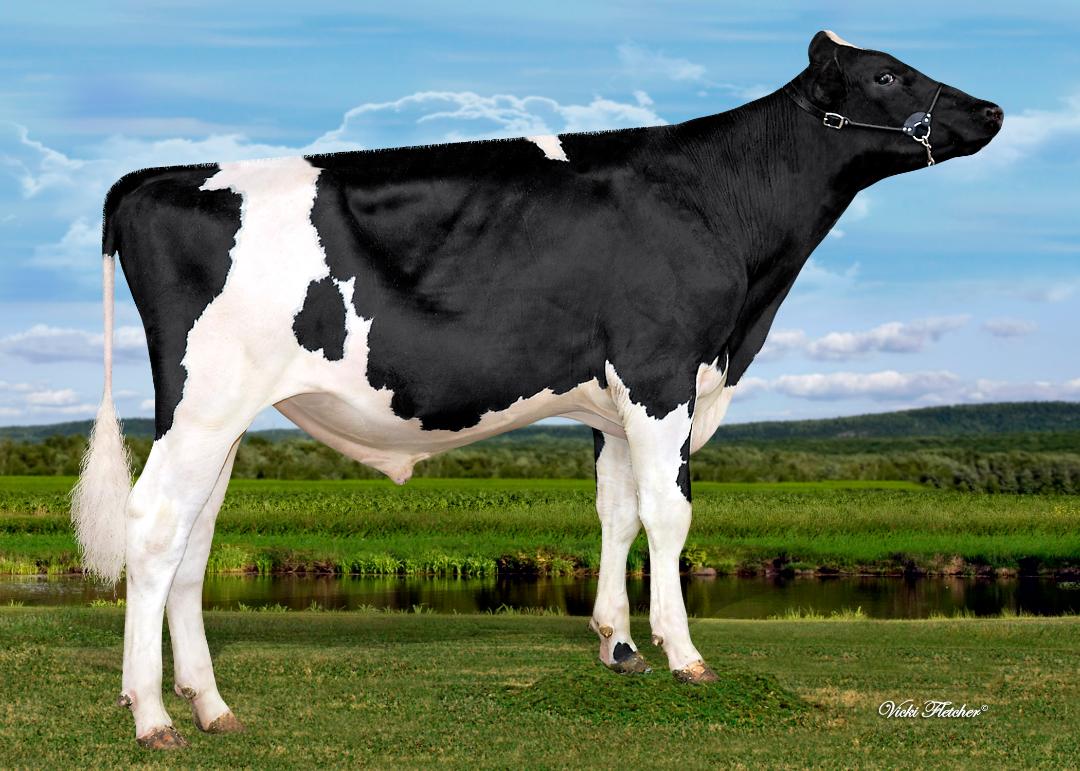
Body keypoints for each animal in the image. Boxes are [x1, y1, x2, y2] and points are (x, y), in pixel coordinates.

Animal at [71, 30, 1002, 748]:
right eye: (887, 75)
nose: (992, 110)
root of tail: (158, 176)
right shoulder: (663, 372)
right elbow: (671, 514)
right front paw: (684, 654)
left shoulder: (614, 402)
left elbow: (617, 512)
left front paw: (618, 646)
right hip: (204, 402)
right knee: (154, 525)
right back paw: (152, 715)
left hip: (219, 416)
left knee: (192, 539)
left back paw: (209, 704)